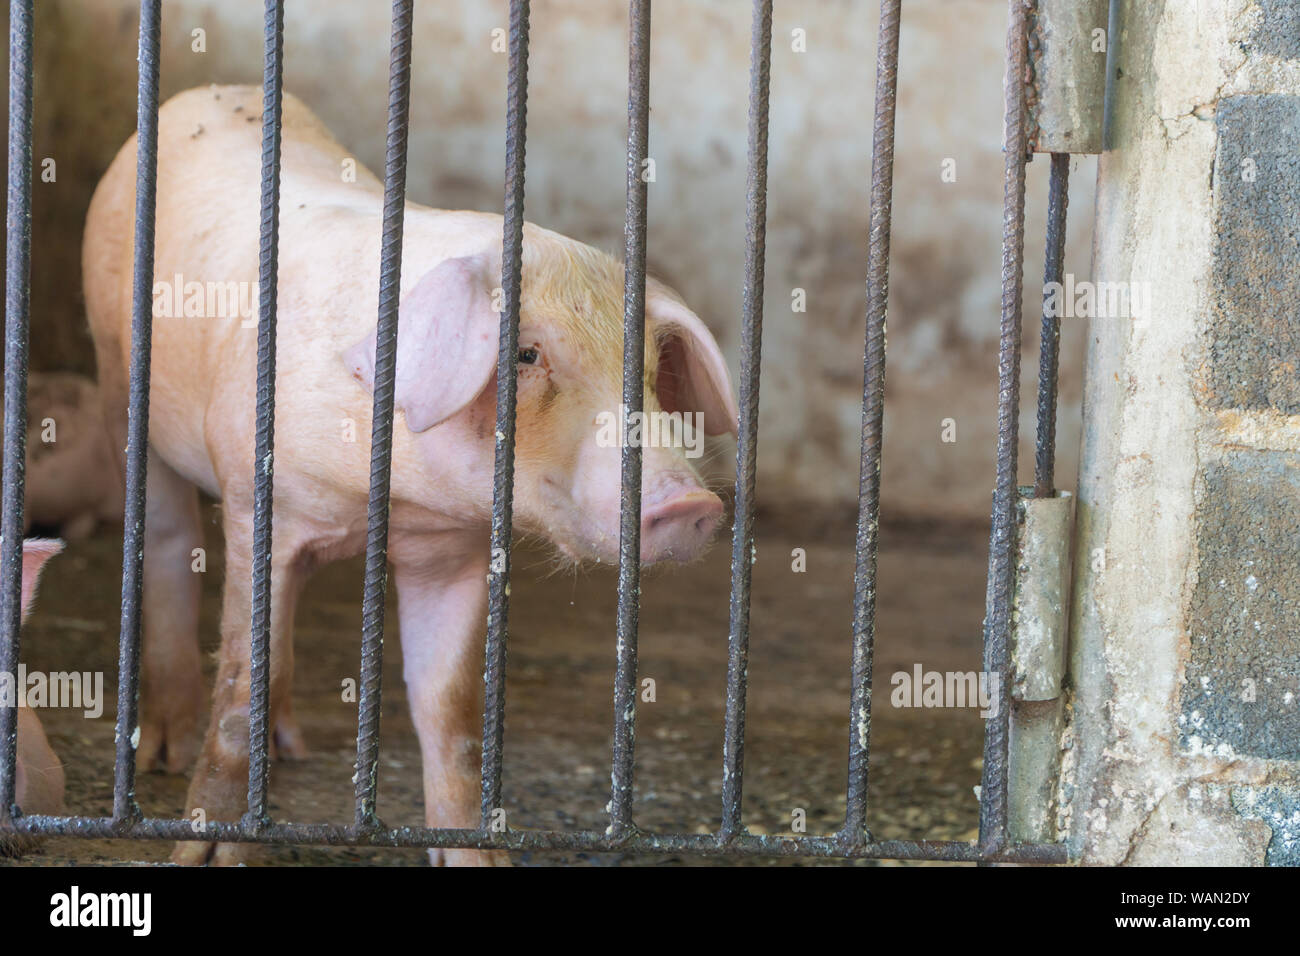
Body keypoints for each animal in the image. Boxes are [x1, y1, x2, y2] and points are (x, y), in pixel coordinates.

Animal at [83, 85, 738, 866]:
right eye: (525, 354)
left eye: (644, 369)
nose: (692, 503)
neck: (387, 503)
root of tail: (203, 94)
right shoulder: (256, 503)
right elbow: (240, 683)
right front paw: (208, 852)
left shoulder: (450, 554)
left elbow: (449, 710)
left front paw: (481, 858)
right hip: (119, 385)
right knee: (168, 546)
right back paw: (167, 753)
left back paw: (292, 747)